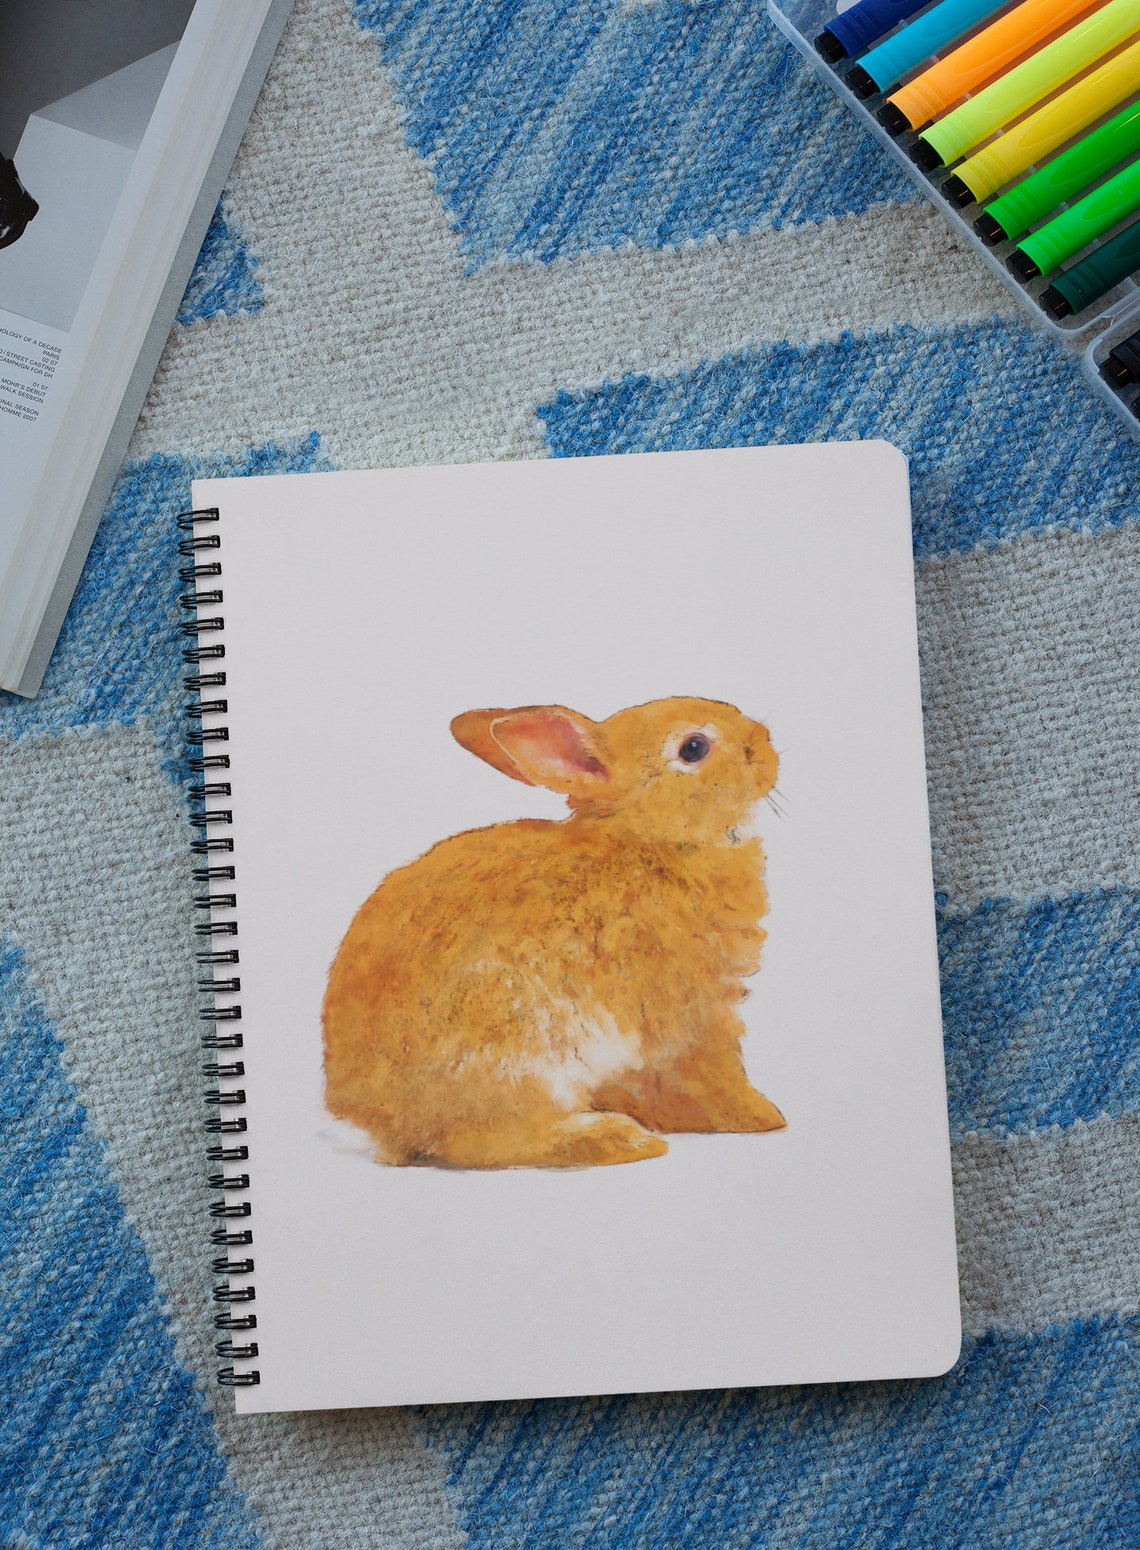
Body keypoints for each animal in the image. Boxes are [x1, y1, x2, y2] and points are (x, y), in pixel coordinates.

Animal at [322, 696, 786, 1169]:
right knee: (489, 1138)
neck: (654, 841)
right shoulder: (692, 1014)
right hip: (520, 1053)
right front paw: (760, 1116)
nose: (766, 743)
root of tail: (378, 1117)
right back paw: (616, 1138)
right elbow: (707, 1075)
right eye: (694, 748)